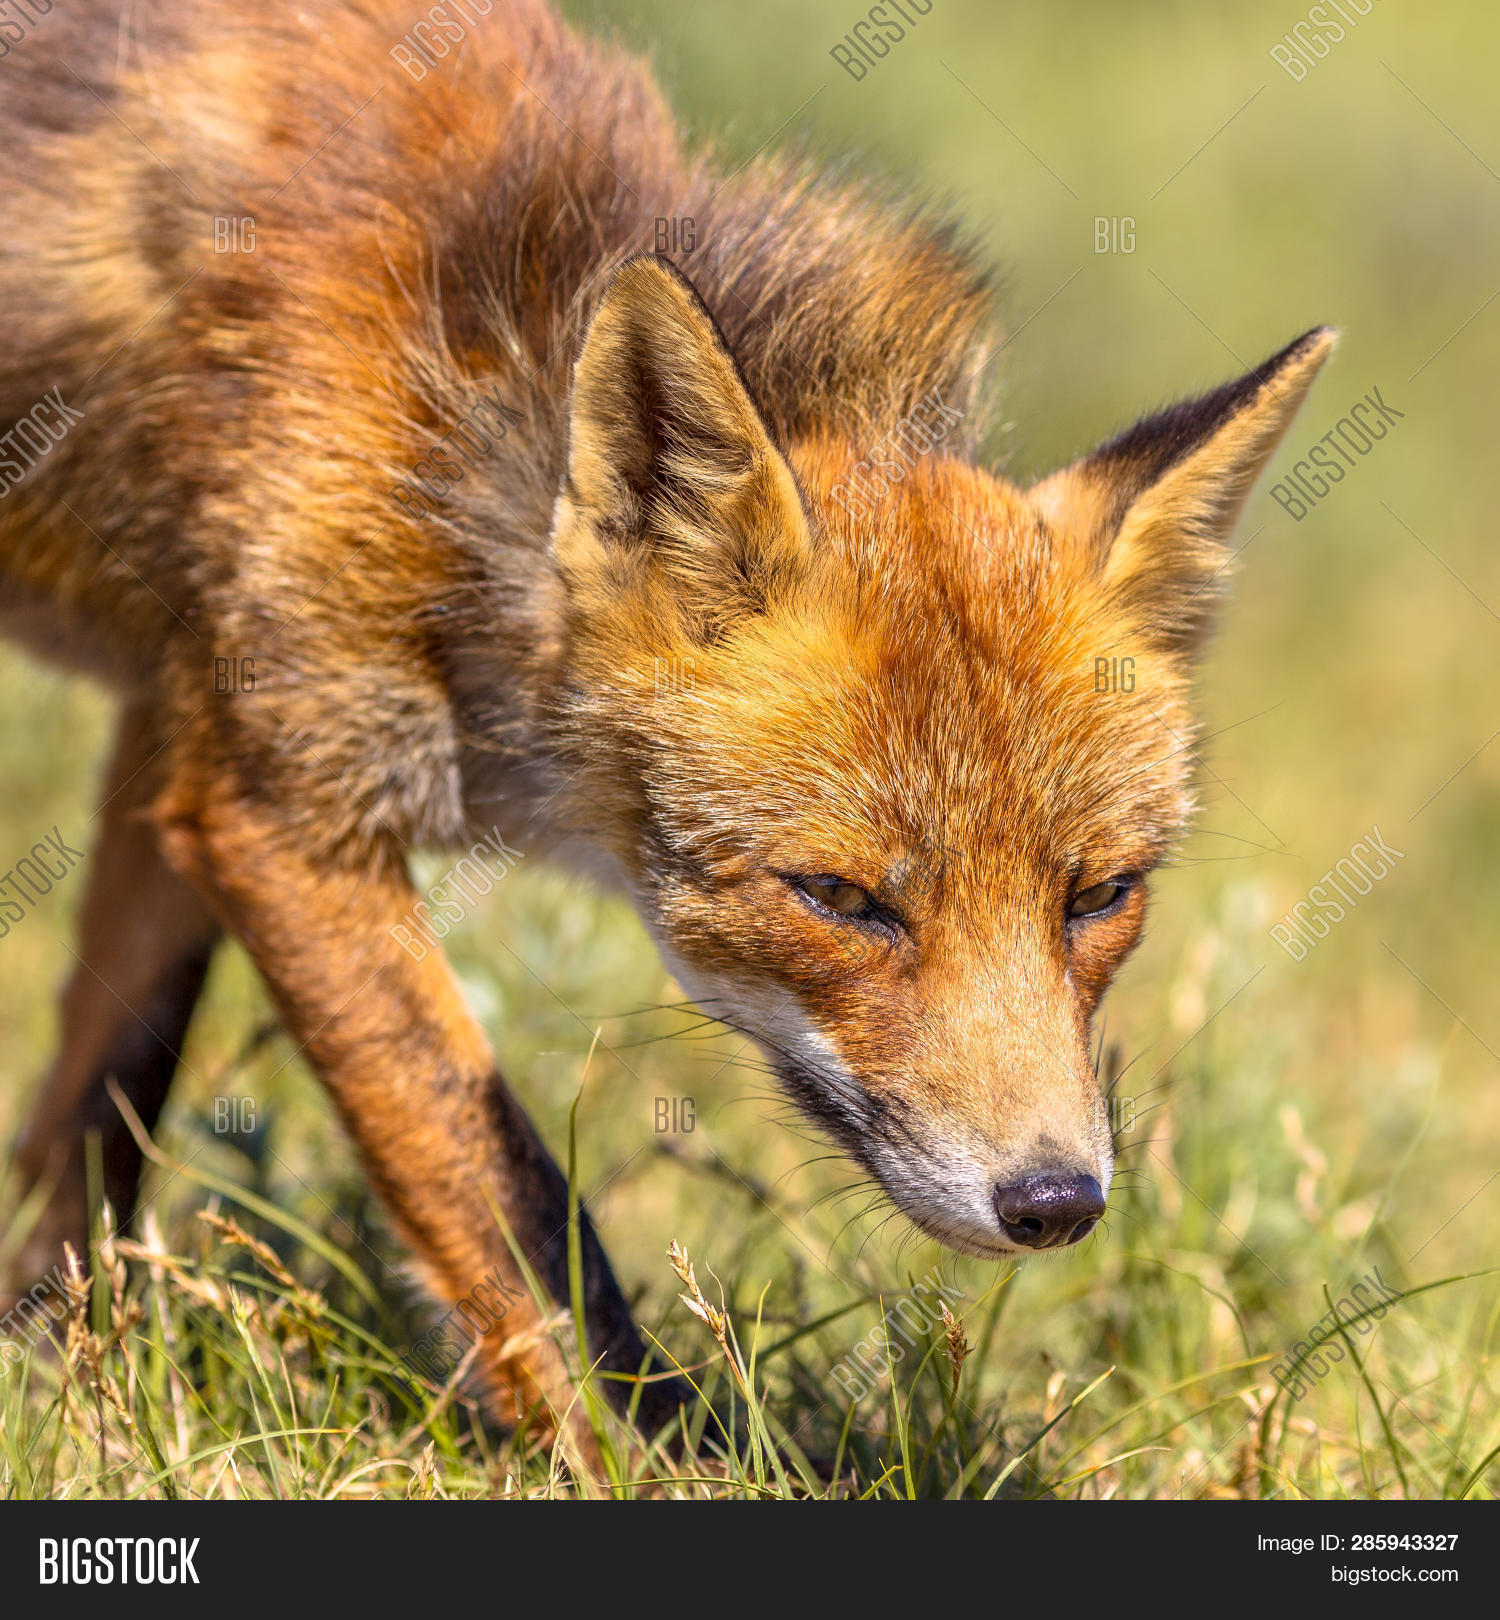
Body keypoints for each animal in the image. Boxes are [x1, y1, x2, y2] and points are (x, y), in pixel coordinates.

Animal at [0, 0, 1334, 1441]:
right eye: (840, 898)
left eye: (1099, 898)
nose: (1055, 1202)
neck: (468, 349)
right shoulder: (281, 806)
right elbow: (507, 1188)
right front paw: (638, 1446)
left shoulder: (181, 727)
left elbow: (101, 1099)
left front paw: (50, 1371)